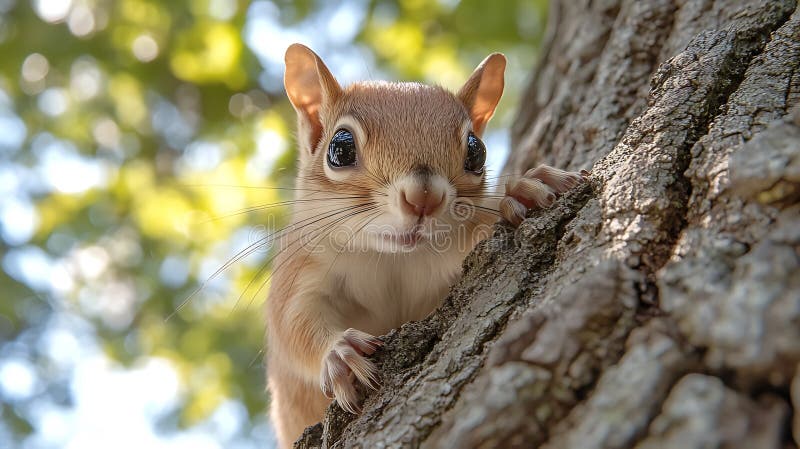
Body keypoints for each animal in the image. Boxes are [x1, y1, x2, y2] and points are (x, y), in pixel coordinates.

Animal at [266, 43, 585, 448]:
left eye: (476, 151)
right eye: (340, 148)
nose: (424, 198)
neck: (390, 260)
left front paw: (521, 192)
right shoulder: (298, 273)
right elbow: (293, 328)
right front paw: (338, 354)